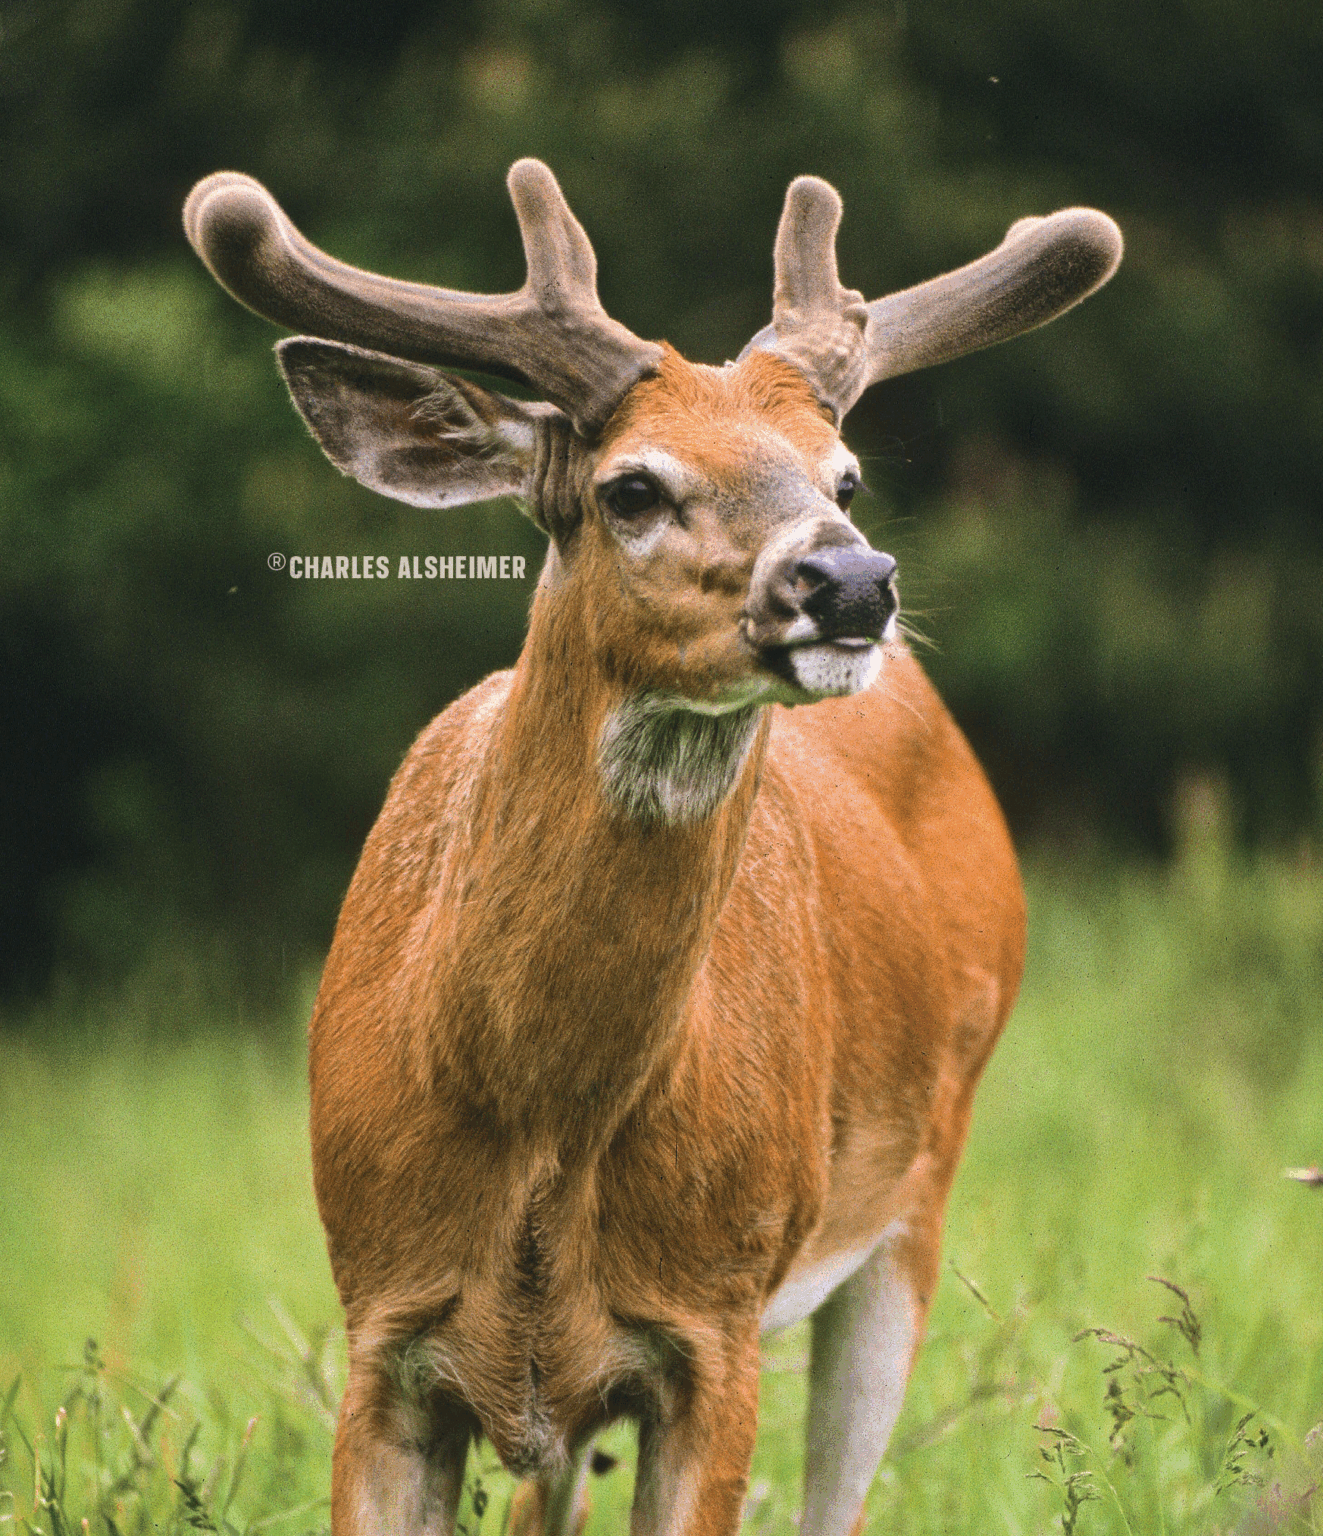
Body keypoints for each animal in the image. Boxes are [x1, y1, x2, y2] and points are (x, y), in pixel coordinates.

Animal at [184, 159, 1120, 1536]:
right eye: (632, 486)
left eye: (843, 476)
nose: (853, 583)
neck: (532, 1118)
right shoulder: (379, 1327)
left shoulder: (712, 1327)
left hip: (915, 1194)